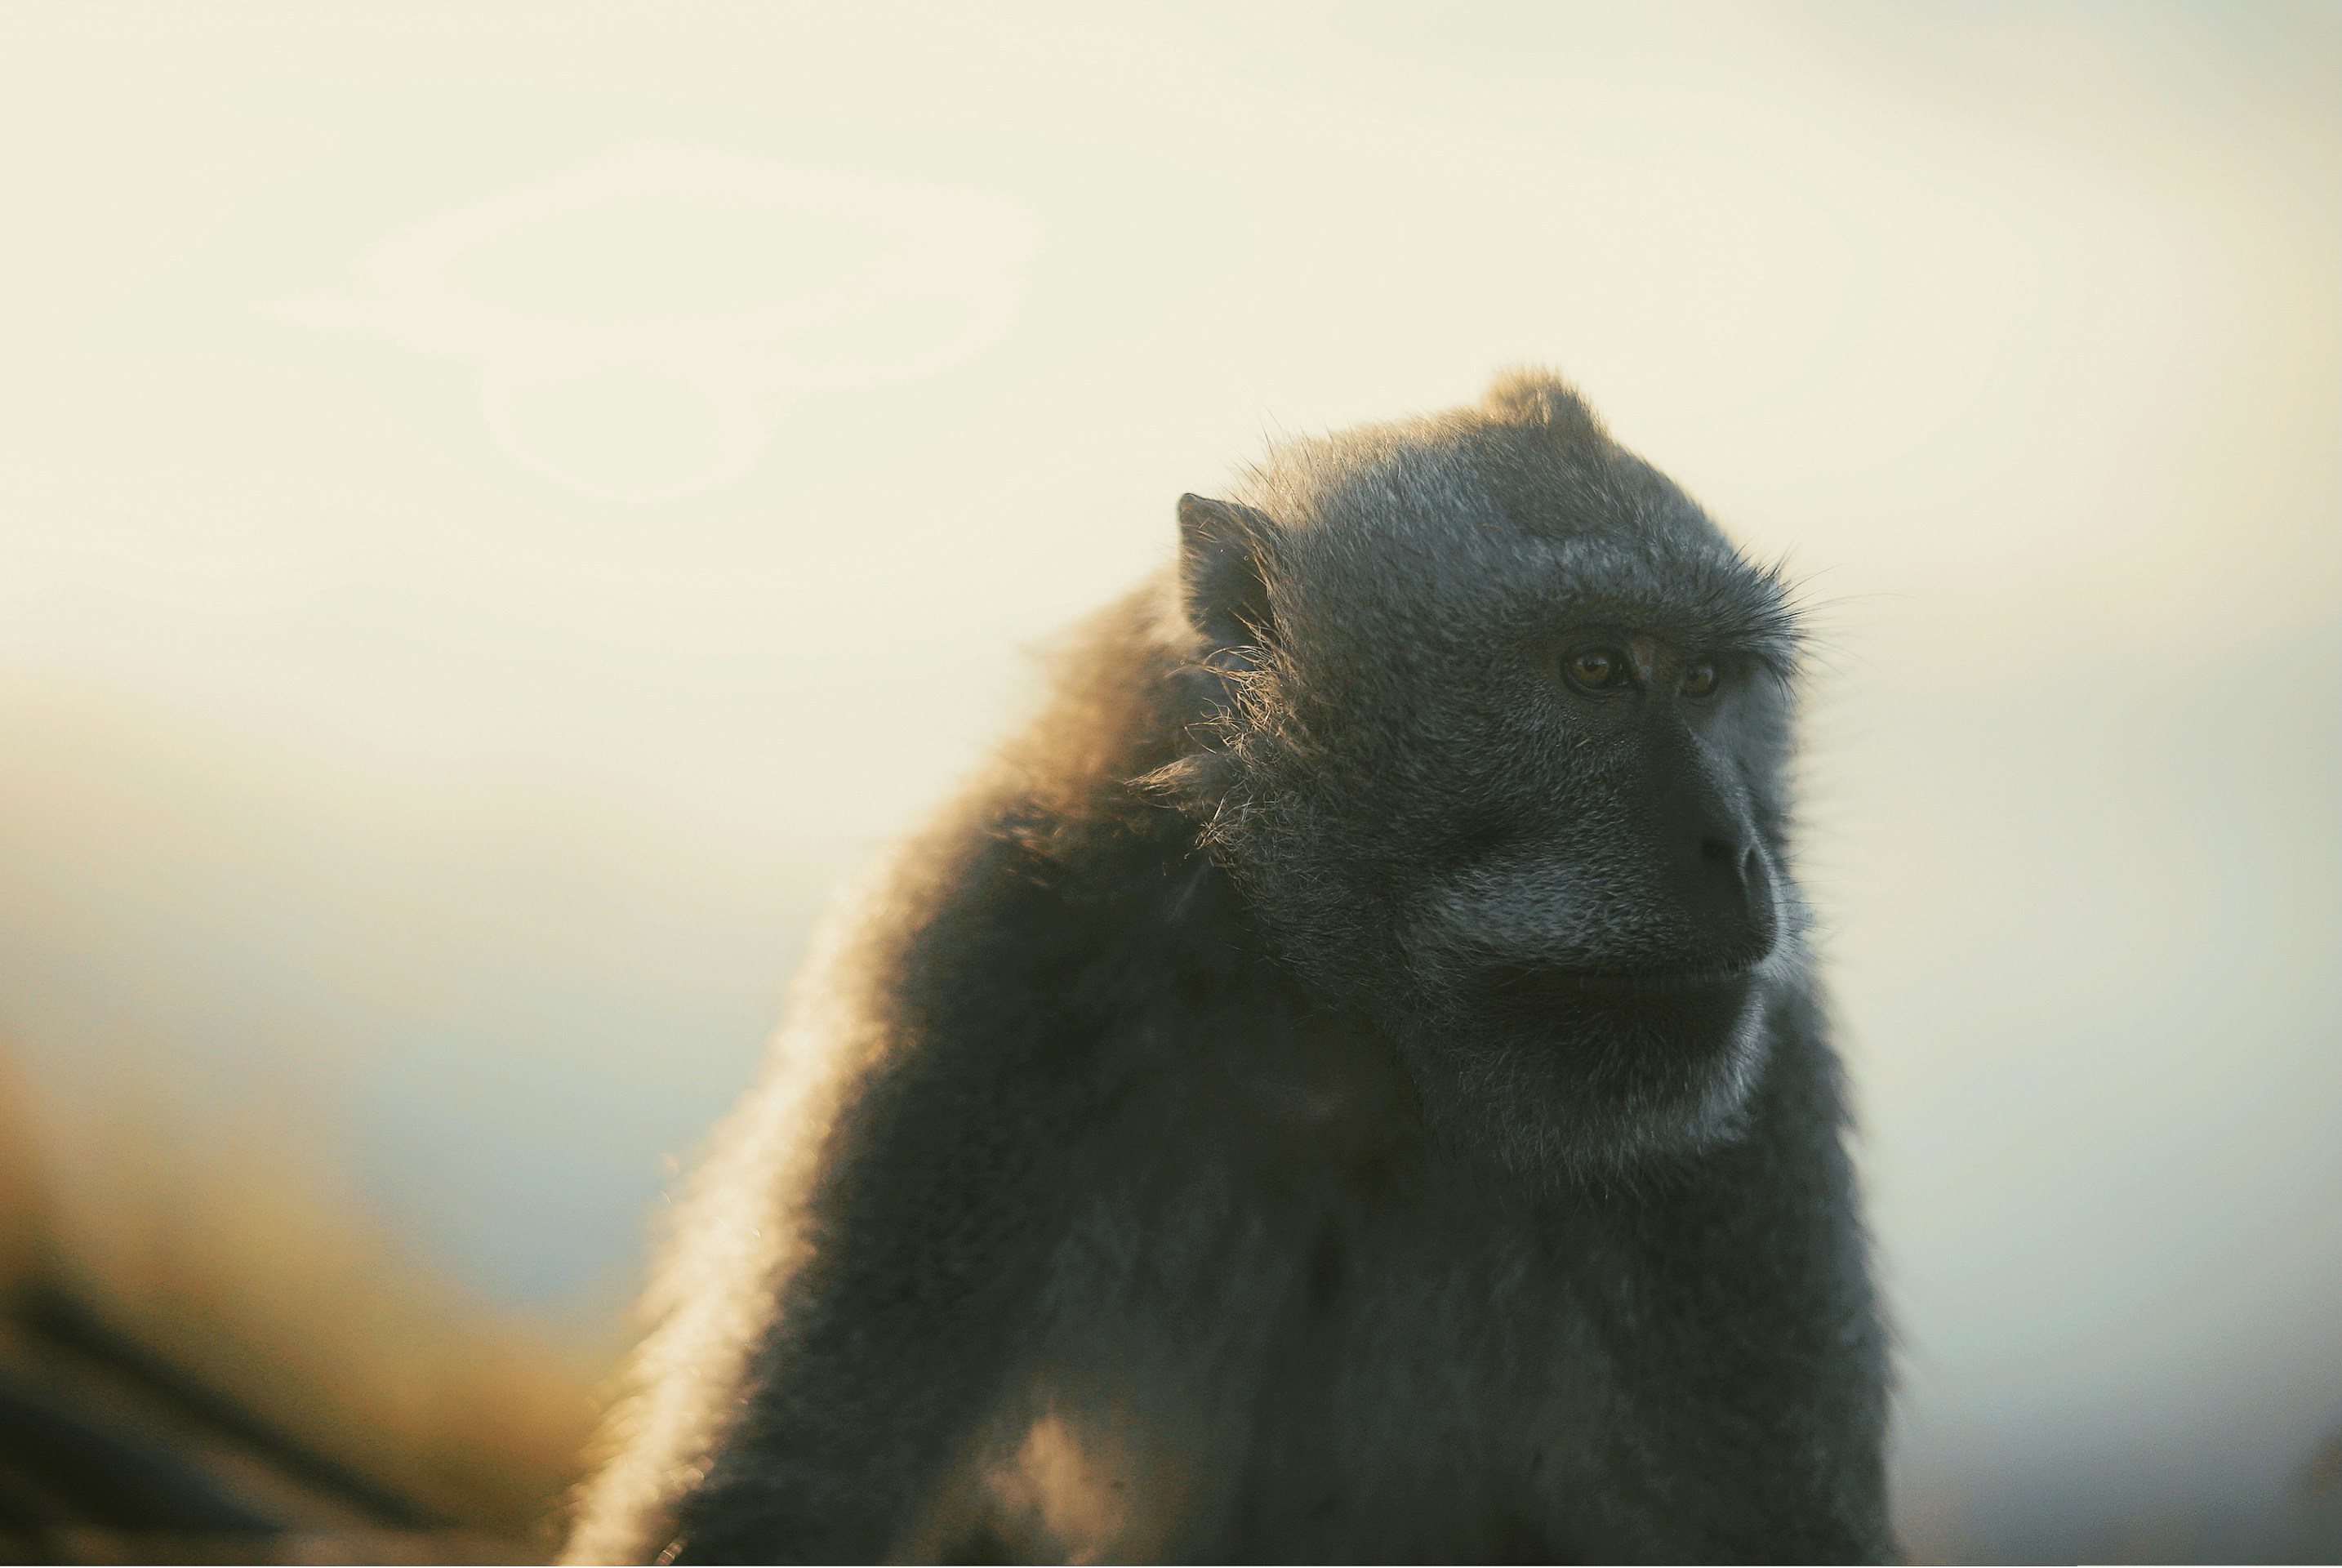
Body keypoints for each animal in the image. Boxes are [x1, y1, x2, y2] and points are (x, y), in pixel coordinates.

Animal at [563, 371, 1893, 1565]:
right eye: (1597, 671)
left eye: (1709, 681)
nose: (1736, 851)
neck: (1350, 1031)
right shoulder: (984, 971)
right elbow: (778, 1501)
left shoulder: (1755, 1089)